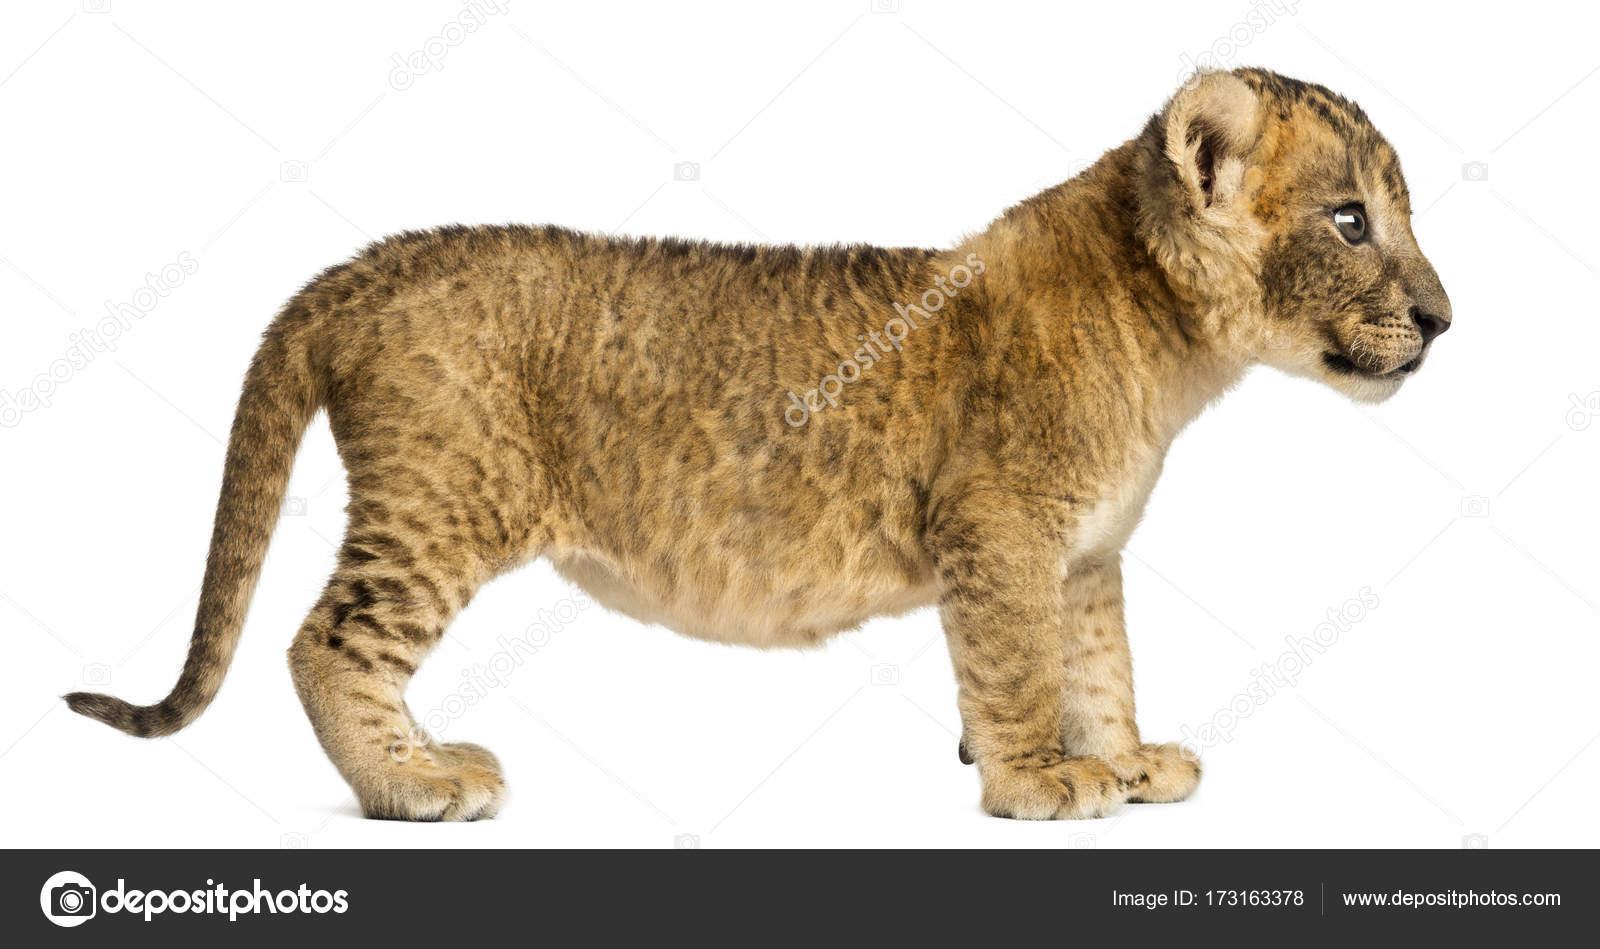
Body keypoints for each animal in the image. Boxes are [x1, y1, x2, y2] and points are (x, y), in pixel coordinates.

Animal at [66, 68, 1449, 821]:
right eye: (1349, 220)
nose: (1444, 320)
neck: (1171, 345)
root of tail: (369, 264)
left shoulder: (1084, 554)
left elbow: (1096, 664)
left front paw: (1121, 758)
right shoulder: (996, 527)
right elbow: (1014, 665)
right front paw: (1035, 780)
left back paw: (418, 761)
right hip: (445, 496)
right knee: (331, 640)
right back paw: (413, 787)